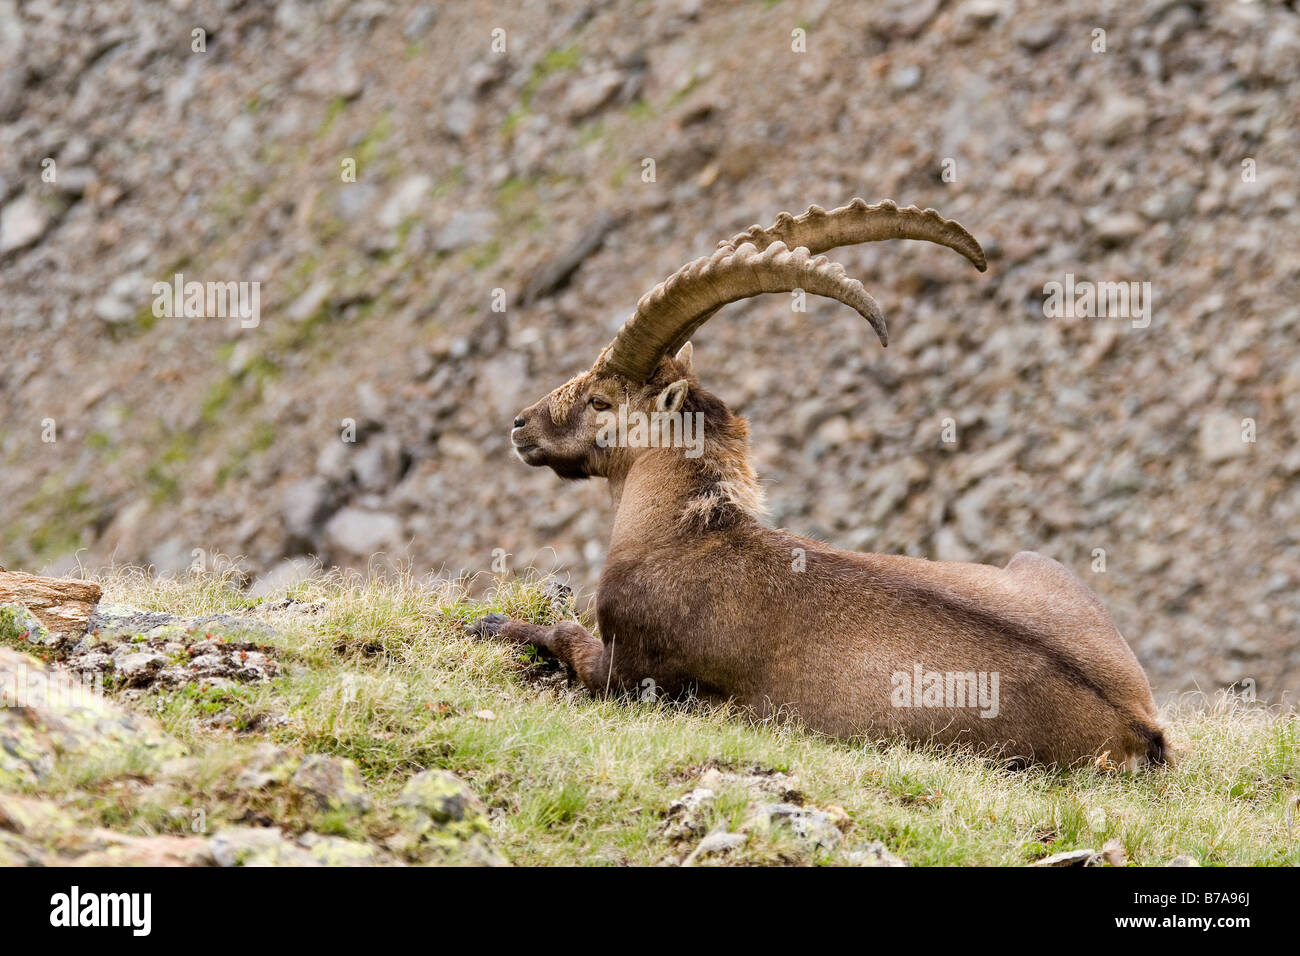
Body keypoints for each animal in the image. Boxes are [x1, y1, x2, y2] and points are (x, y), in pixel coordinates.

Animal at [471, 199, 1166, 769]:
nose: (521, 424)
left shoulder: (629, 673)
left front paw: (491, 623)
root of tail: (1139, 726)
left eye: (599, 400)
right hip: (1034, 564)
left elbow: (566, 638)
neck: (680, 531)